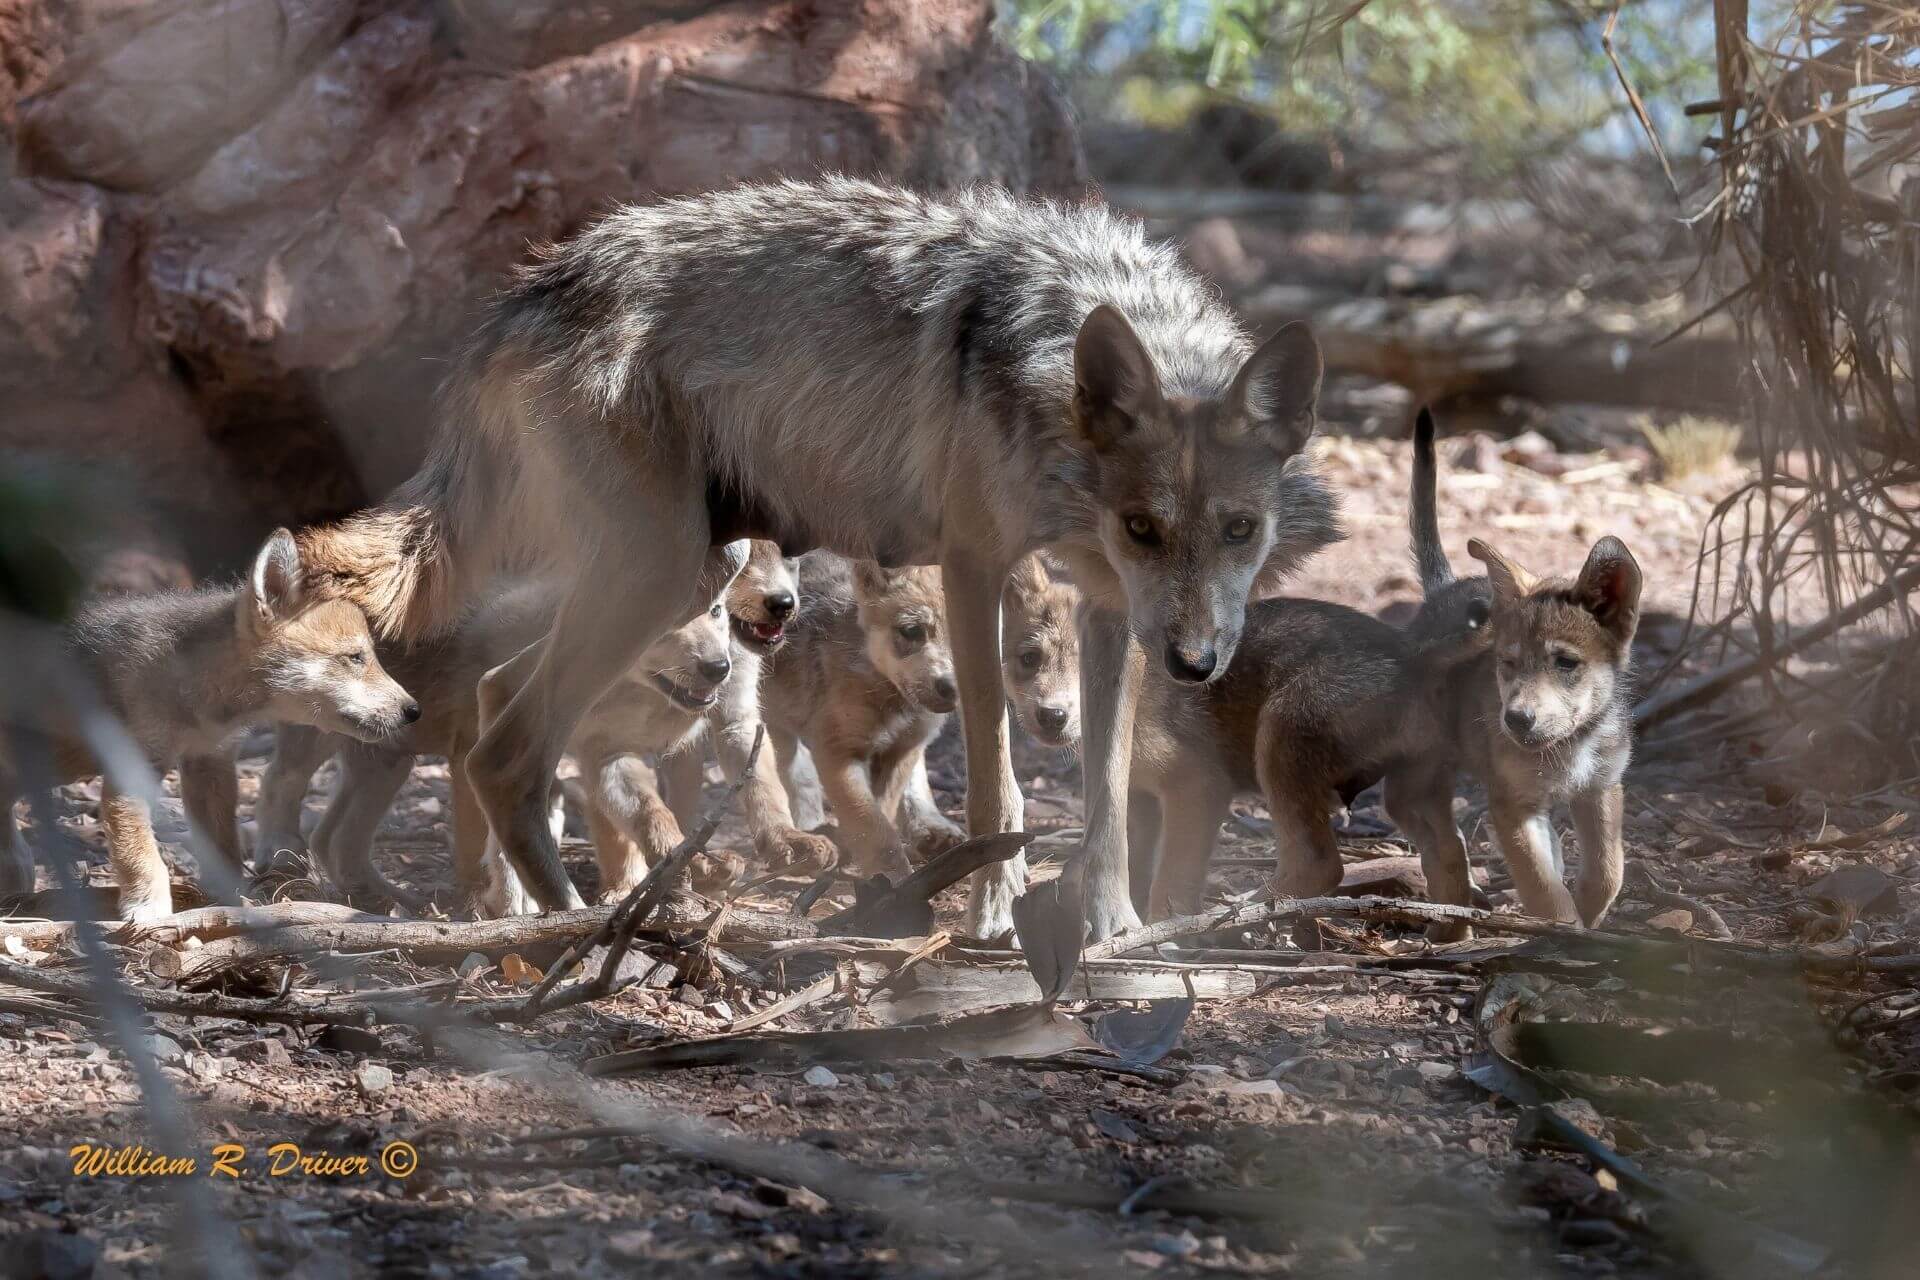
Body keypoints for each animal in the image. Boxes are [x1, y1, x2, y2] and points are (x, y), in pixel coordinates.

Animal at [0, 531, 416, 921]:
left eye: (370, 657)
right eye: (355, 657)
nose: (414, 711)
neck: (197, 690)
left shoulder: (210, 761)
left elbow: (224, 847)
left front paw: (234, 902)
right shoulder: (134, 771)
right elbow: (141, 852)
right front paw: (148, 909)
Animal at [291, 177, 1340, 940]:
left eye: (1241, 531)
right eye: (1143, 528)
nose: (1196, 663)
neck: (1046, 351)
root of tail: (524, 294)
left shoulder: (1111, 612)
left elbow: (1109, 794)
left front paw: (1117, 930)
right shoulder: (974, 570)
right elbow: (996, 781)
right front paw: (992, 920)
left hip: (653, 577)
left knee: (495, 718)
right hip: (655, 575)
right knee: (510, 752)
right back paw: (573, 930)